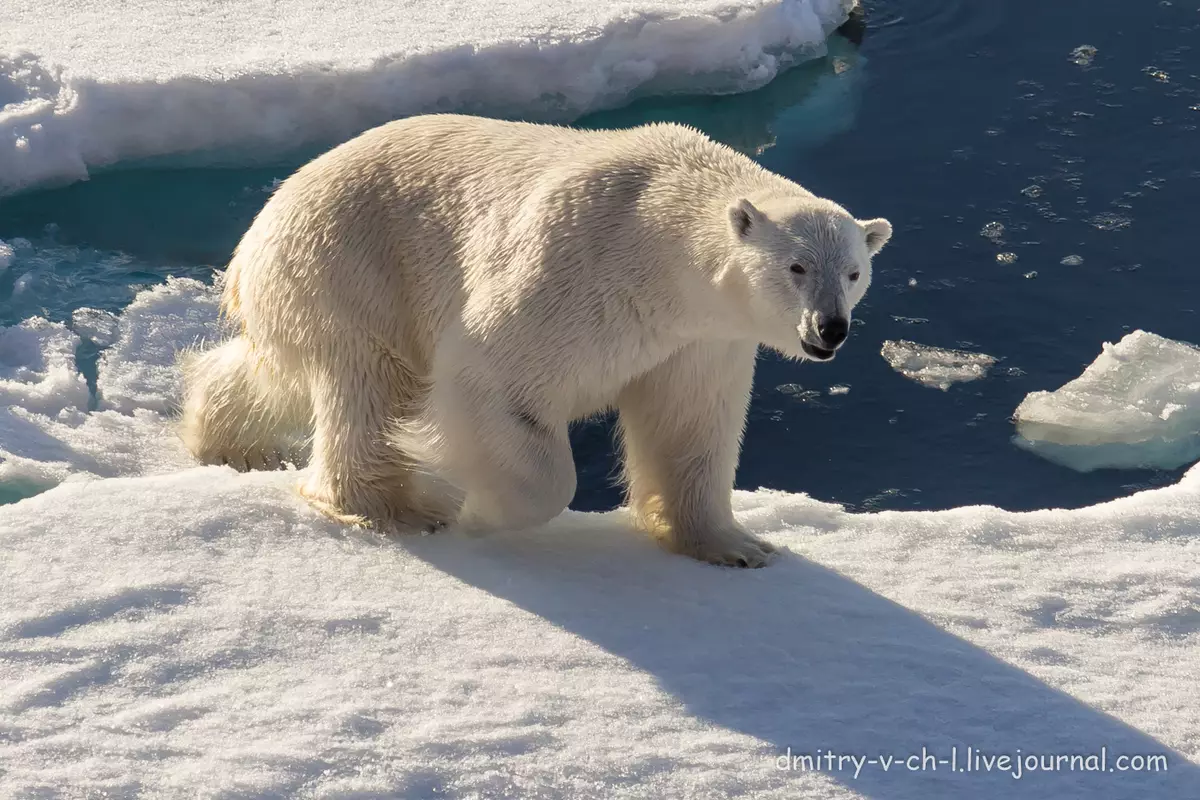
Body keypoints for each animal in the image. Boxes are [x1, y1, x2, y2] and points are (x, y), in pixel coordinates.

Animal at [180, 112, 892, 566]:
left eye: (854, 272)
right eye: (796, 267)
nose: (829, 329)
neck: (662, 239)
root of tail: (260, 228)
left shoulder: (699, 338)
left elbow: (690, 423)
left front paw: (735, 546)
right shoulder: (583, 272)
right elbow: (493, 378)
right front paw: (479, 511)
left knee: (279, 374)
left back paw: (225, 438)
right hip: (353, 266)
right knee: (368, 384)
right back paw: (393, 507)